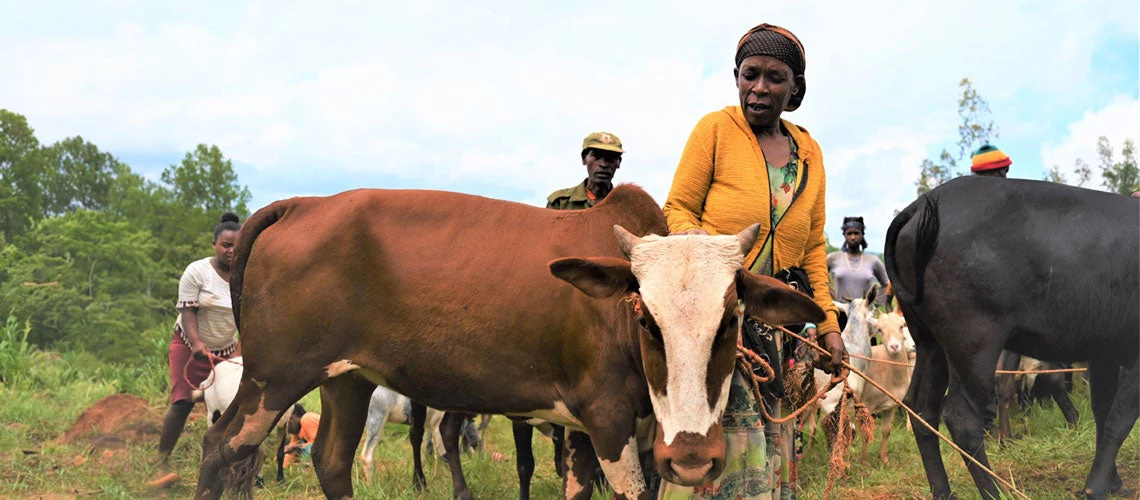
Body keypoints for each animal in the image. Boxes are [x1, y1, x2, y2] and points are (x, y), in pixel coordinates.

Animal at [193, 186, 820, 500]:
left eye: (731, 319)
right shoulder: (609, 421)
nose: (692, 455)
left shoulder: (615, 433)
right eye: (646, 320)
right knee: (222, 447)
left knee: (331, 459)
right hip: (273, 379)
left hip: (347, 379)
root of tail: (304, 204)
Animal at [884, 177, 1135, 498]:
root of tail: (918, 206)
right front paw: (1096, 487)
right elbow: (1119, 419)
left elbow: (1103, 413)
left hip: (929, 343)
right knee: (961, 417)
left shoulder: (1104, 352)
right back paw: (994, 491)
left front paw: (1113, 484)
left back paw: (943, 492)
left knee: (922, 408)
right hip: (974, 344)